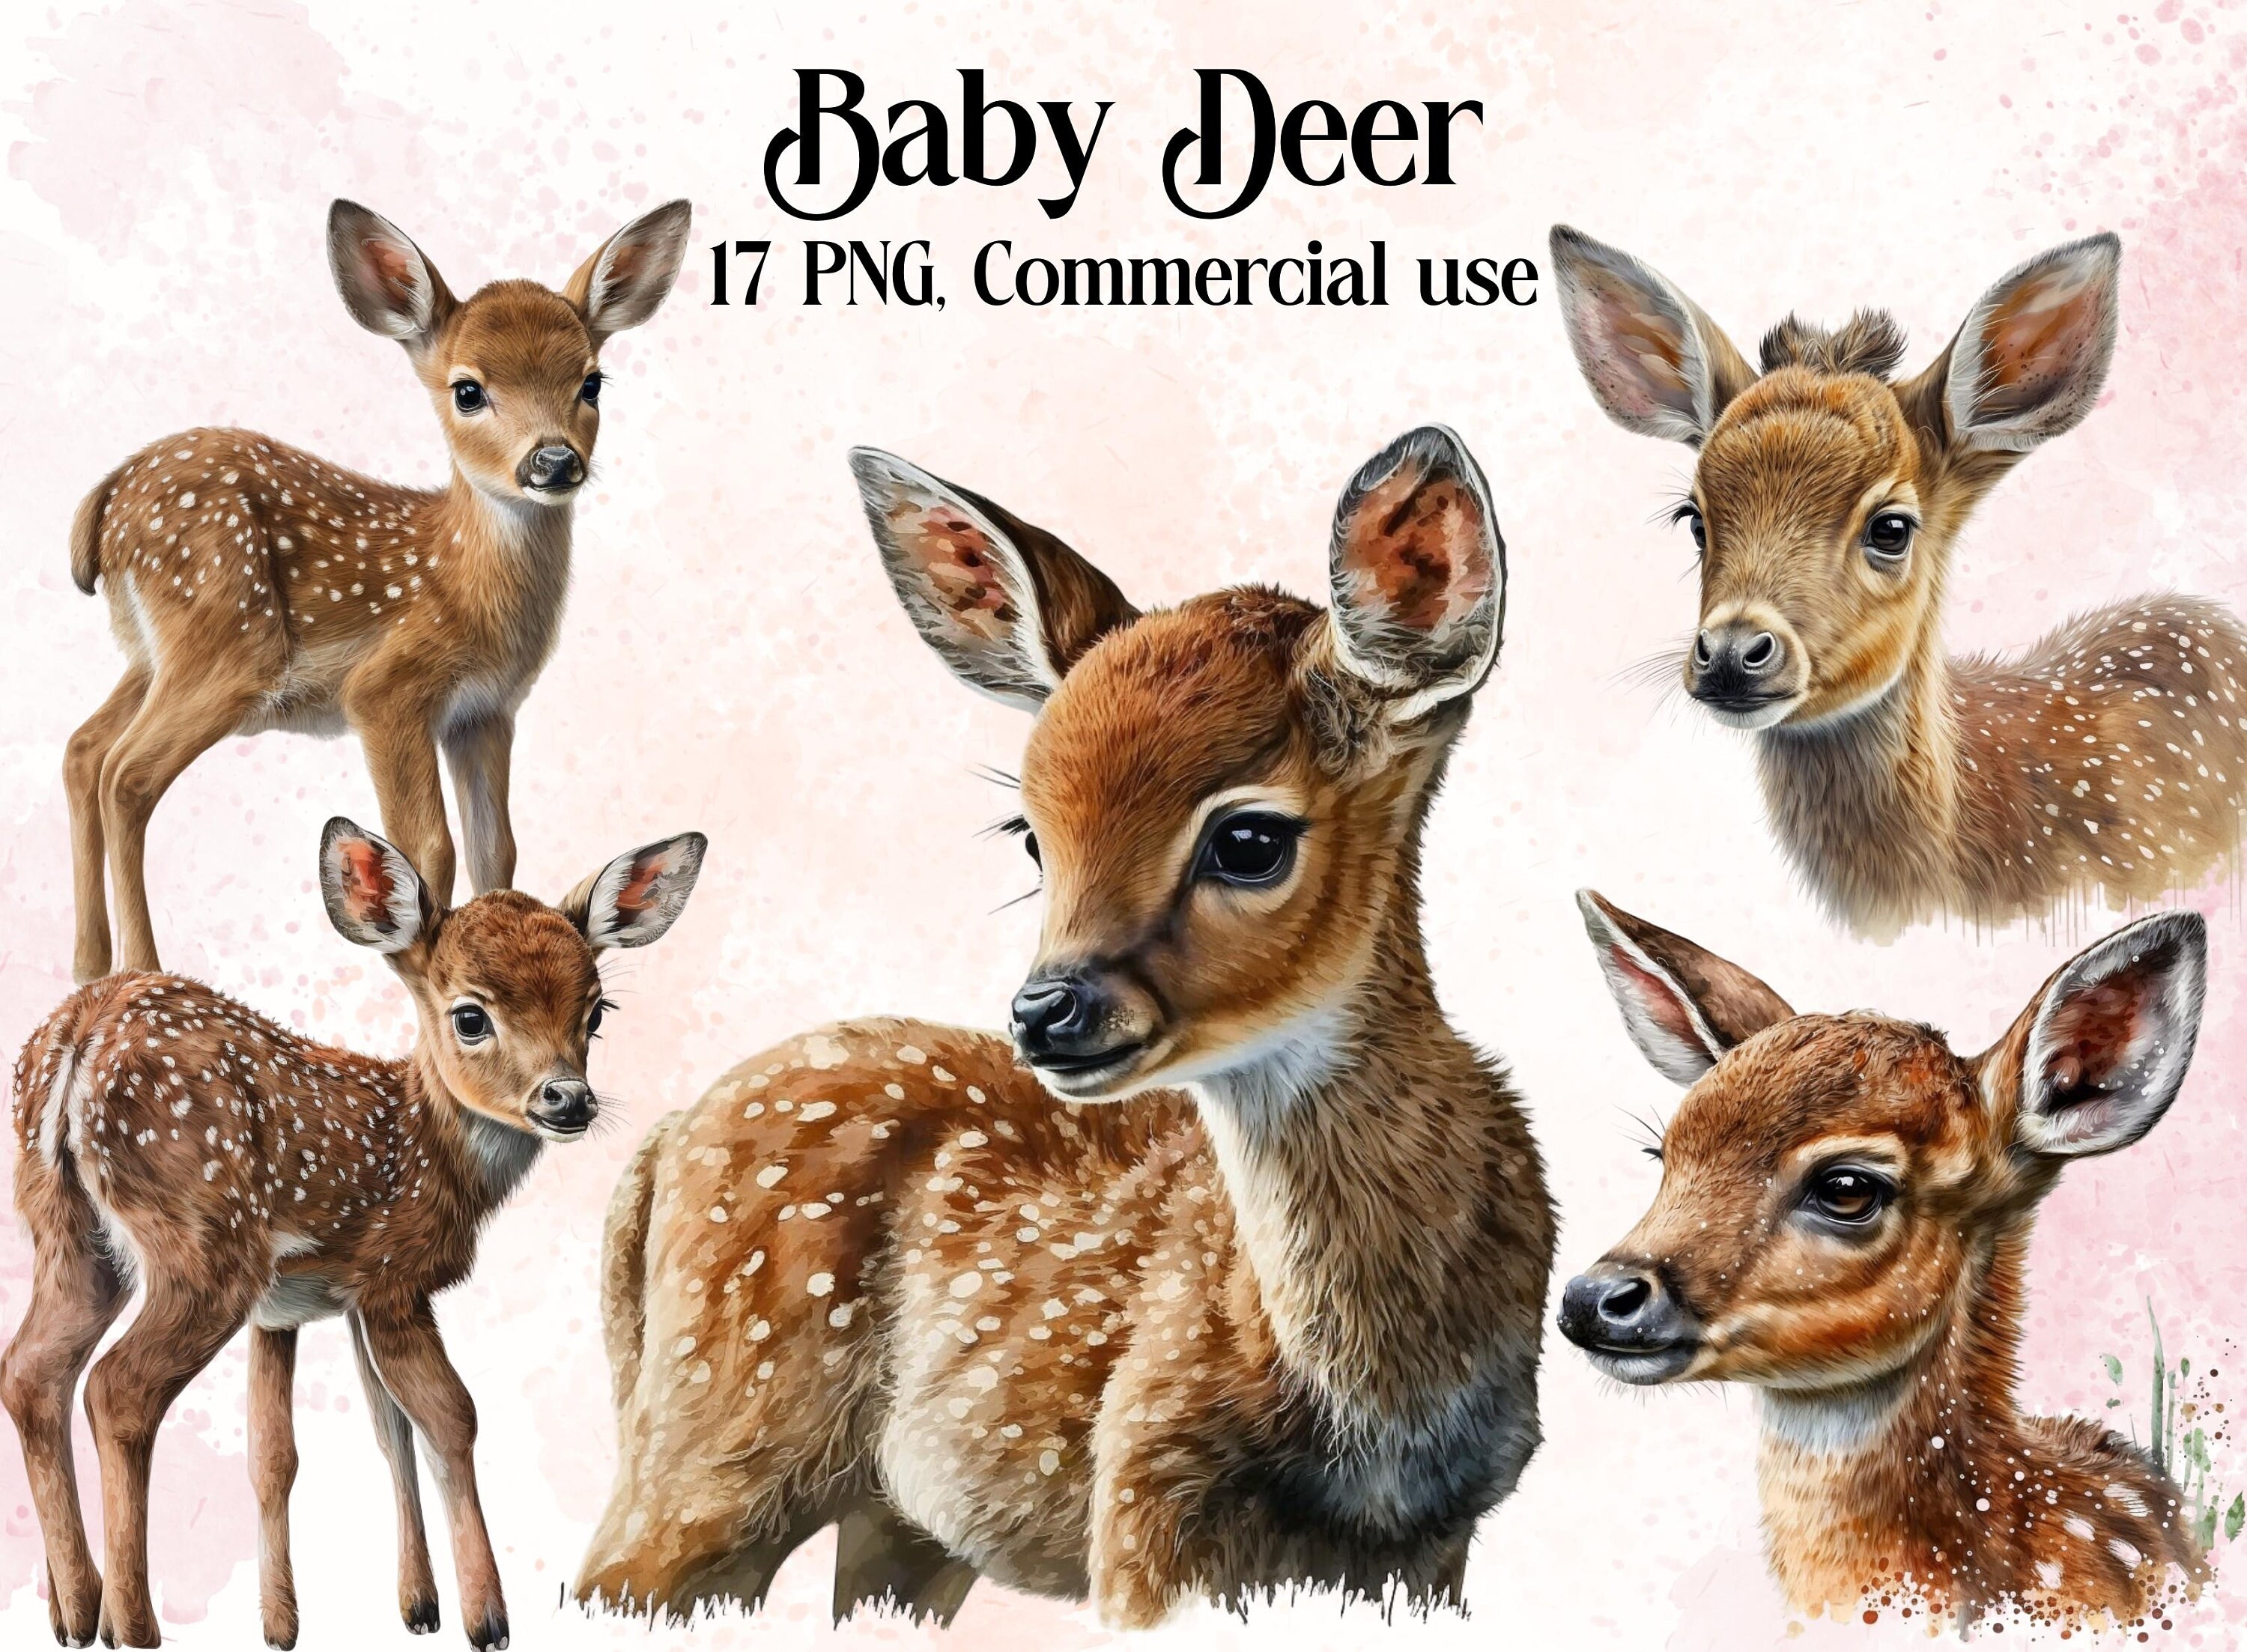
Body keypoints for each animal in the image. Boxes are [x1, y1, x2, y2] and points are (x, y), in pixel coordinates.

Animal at [0, 816, 706, 1650]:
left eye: (596, 1011)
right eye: (471, 1016)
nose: (568, 1098)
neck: (422, 1142)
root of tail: (80, 1034)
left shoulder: (309, 1306)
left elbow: (330, 1440)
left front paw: (390, 1611)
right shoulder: (393, 1279)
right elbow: (449, 1417)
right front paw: (486, 1618)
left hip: (69, 1233)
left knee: (31, 1372)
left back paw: (75, 1610)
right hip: (204, 1246)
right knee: (116, 1388)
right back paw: (130, 1623)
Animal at [62, 195, 693, 985]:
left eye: (592, 382)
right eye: (468, 390)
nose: (553, 462)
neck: (463, 581)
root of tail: (105, 502)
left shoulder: (485, 712)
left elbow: (496, 846)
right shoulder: (387, 689)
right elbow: (427, 850)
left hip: (152, 654)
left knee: (84, 750)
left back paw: (89, 965)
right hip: (226, 644)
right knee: (128, 776)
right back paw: (146, 972)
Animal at [569, 427, 1556, 1628]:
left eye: (1250, 839)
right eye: (1030, 835)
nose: (1047, 1011)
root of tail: (664, 1138)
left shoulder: (1439, 1543)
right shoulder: (1140, 1489)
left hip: (893, 1518)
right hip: (717, 1433)